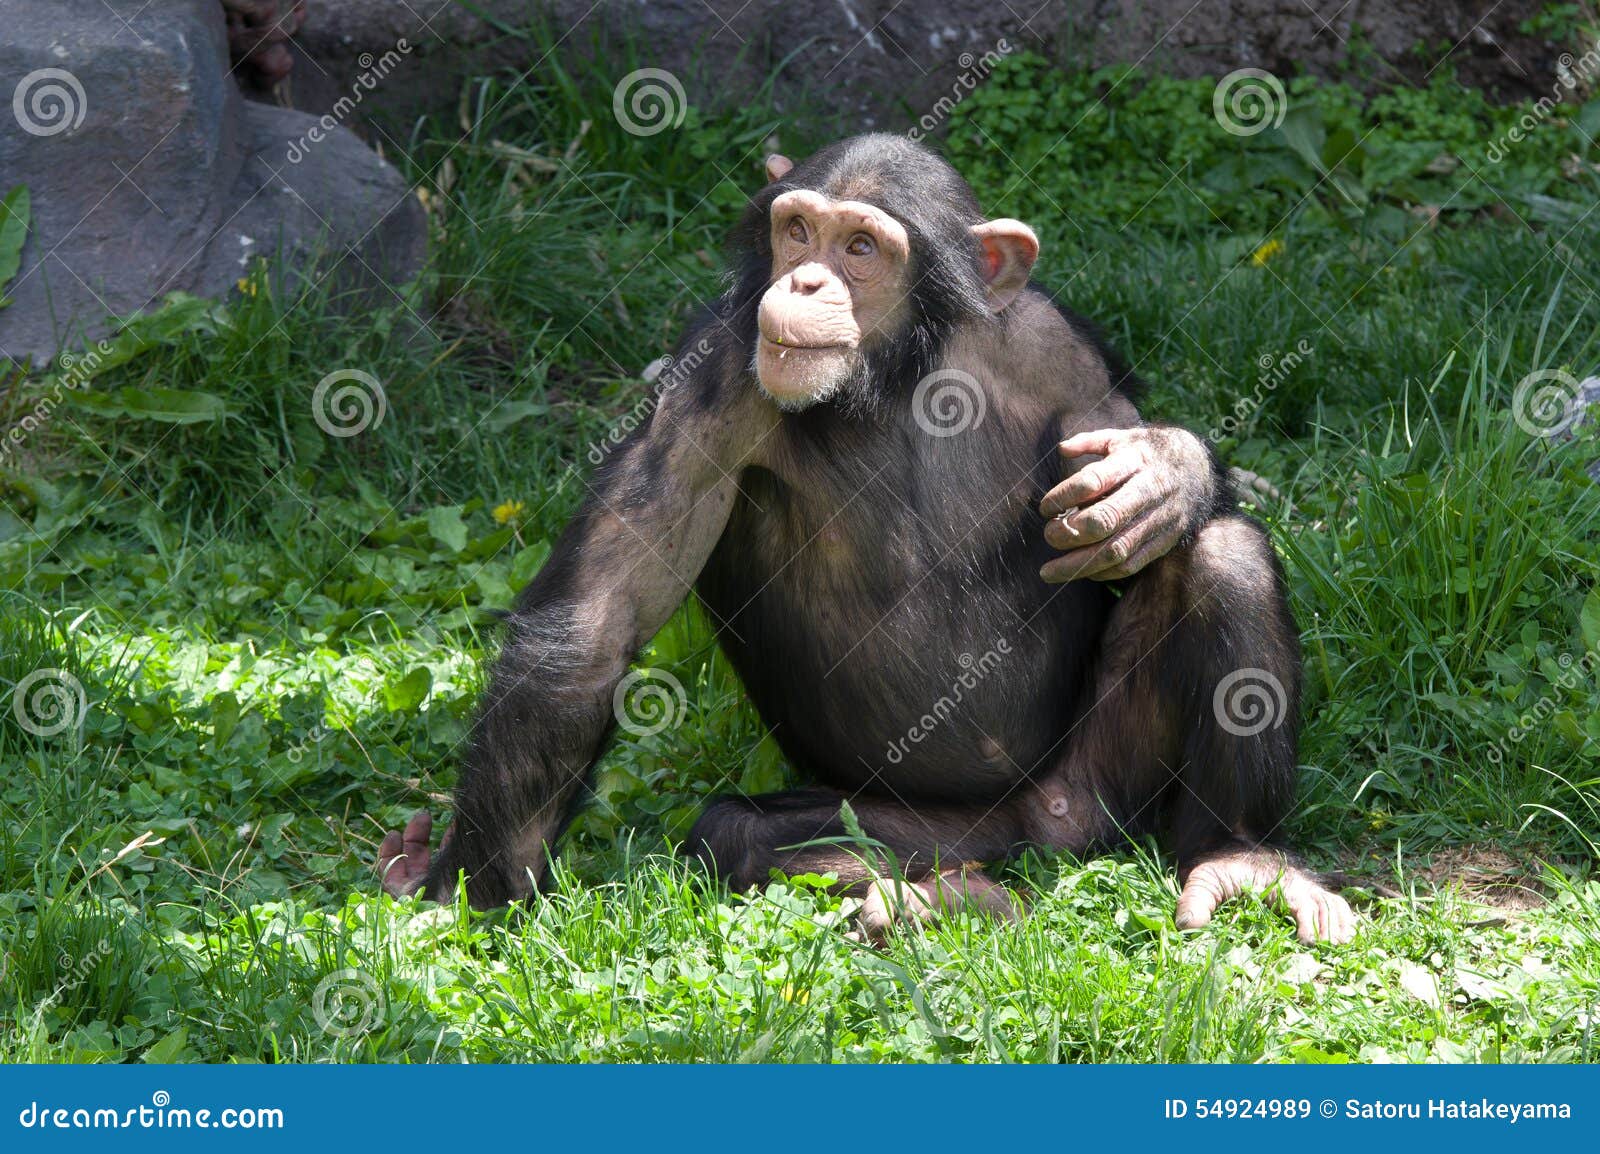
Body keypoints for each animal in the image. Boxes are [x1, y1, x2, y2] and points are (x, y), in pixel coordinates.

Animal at [377, 134, 1356, 945]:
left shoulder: (1061, 350)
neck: (897, 369)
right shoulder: (713, 376)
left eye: (861, 249)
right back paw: (943, 898)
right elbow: (597, 617)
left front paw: (1164, 473)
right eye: (798, 231)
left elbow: (1128, 453)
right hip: (925, 821)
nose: (806, 283)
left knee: (1225, 557)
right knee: (737, 832)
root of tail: (1040, 827)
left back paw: (1237, 856)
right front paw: (460, 890)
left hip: (1109, 784)